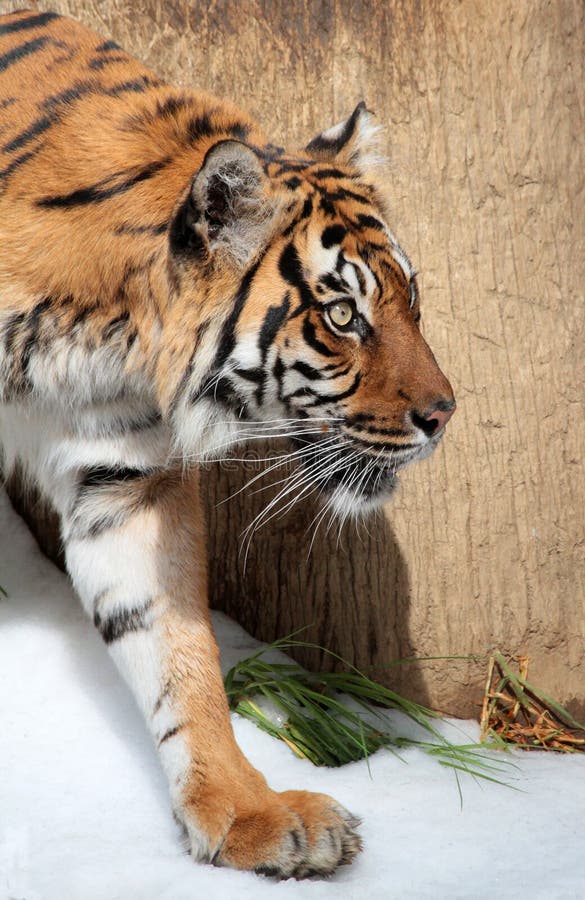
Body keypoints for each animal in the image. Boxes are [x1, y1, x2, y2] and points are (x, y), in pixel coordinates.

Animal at [0, 8, 455, 880]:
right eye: (342, 315)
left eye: (409, 298)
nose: (443, 415)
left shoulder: (123, 479)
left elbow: (176, 652)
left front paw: (248, 813)